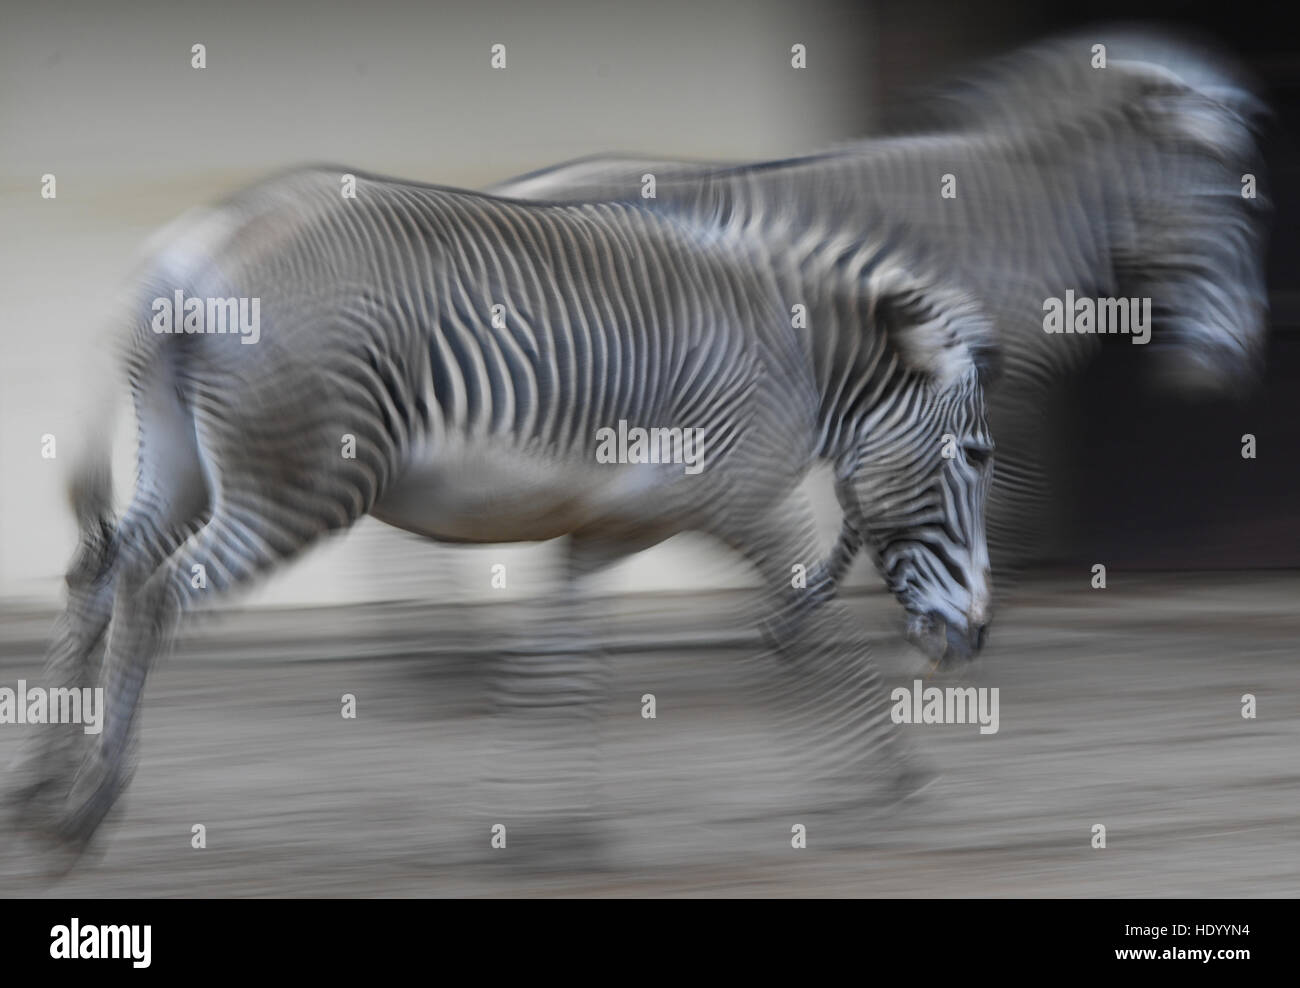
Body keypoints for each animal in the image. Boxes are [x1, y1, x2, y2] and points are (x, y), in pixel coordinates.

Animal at [6, 166, 998, 853]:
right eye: (980, 458)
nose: (976, 640)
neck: (796, 354)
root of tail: (206, 240)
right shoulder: (739, 500)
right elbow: (821, 638)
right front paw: (896, 778)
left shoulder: (602, 531)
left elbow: (559, 664)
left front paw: (537, 825)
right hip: (307, 485)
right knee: (154, 594)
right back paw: (89, 806)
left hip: (182, 466)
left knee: (100, 573)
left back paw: (37, 789)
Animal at [489, 28, 1272, 587]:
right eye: (1225, 205)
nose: (1225, 368)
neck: (1031, 215)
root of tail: (521, 188)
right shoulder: (991, 381)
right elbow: (1000, 490)